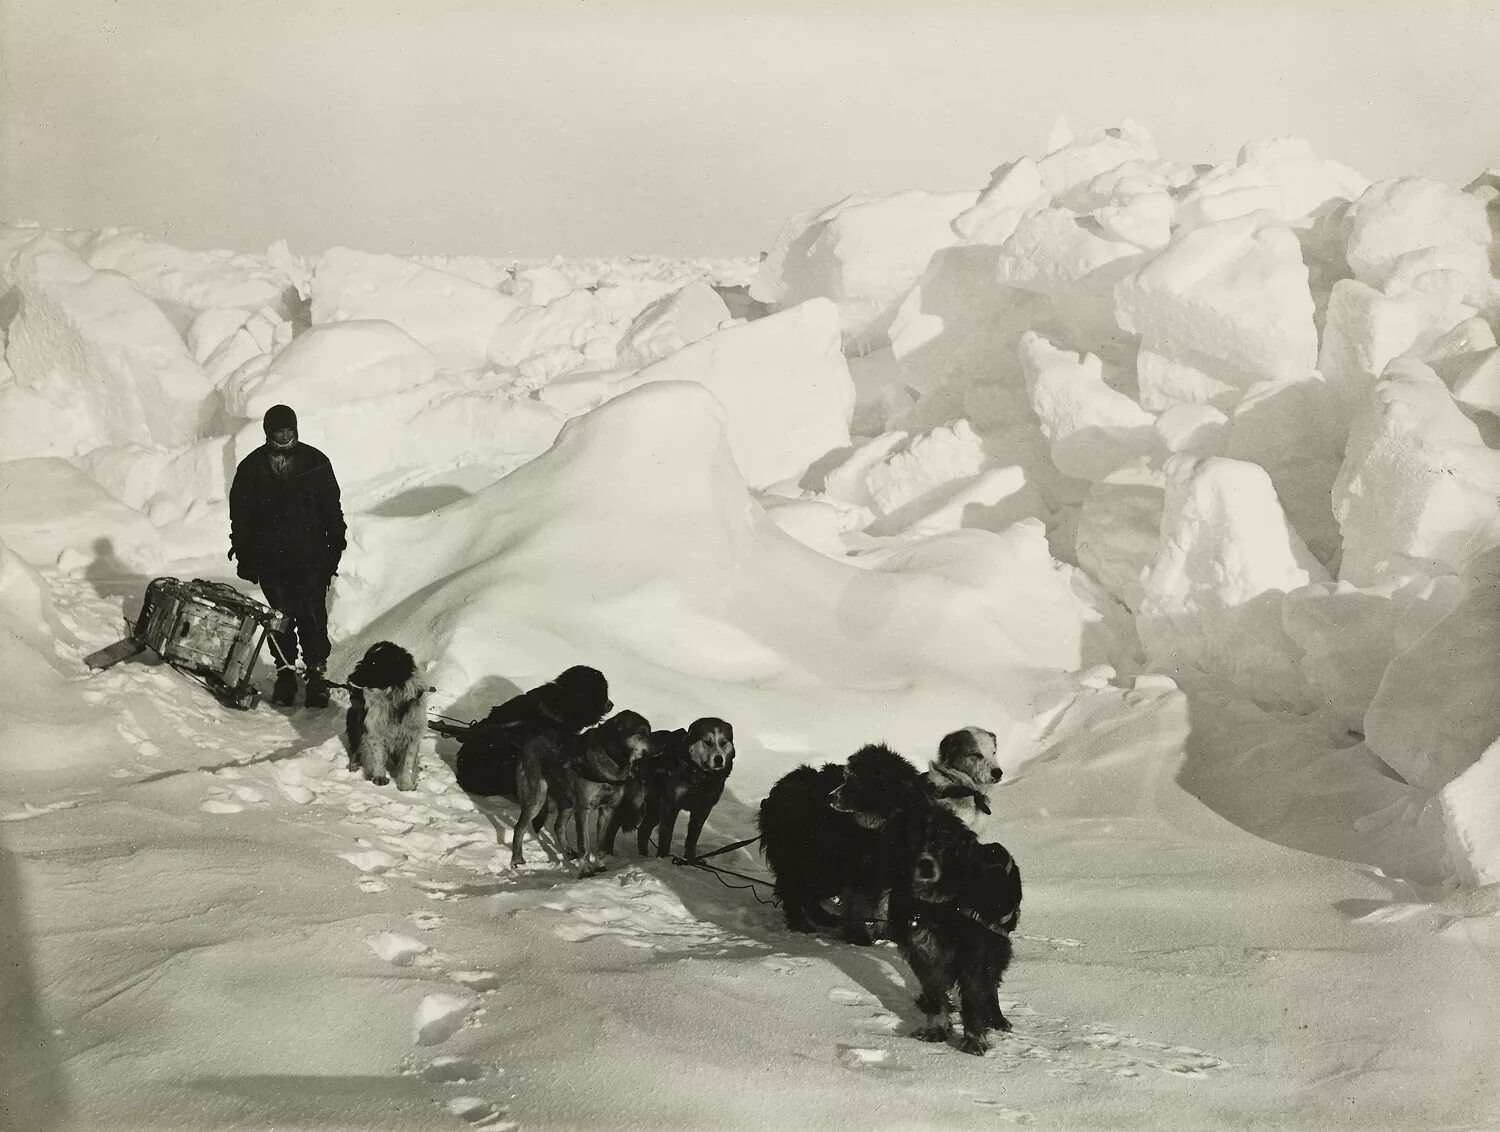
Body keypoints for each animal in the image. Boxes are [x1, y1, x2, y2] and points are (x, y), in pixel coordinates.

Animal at [345, 641, 429, 791]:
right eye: (366, 659)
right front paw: (379, 777)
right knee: (356, 747)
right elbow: (378, 756)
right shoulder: (373, 730)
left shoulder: (413, 735)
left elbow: (408, 762)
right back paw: (354, 765)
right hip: (353, 717)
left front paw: (406, 784)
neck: (393, 697)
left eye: (374, 663)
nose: (350, 677)